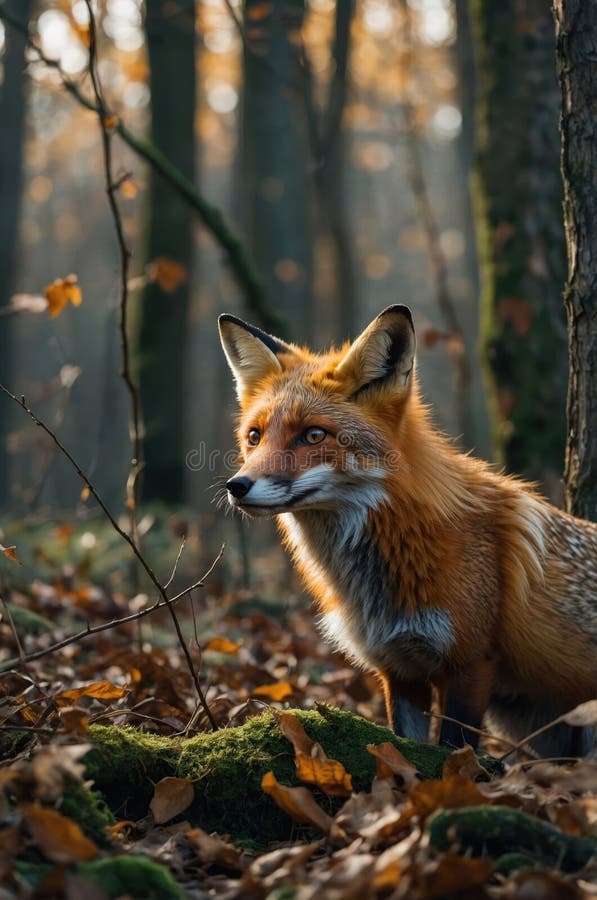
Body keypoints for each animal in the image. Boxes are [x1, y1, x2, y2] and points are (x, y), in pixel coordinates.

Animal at [218, 305, 597, 756]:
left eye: (313, 434)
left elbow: (454, 748)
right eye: (254, 437)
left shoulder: (470, 663)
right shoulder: (398, 668)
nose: (237, 486)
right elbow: (406, 747)